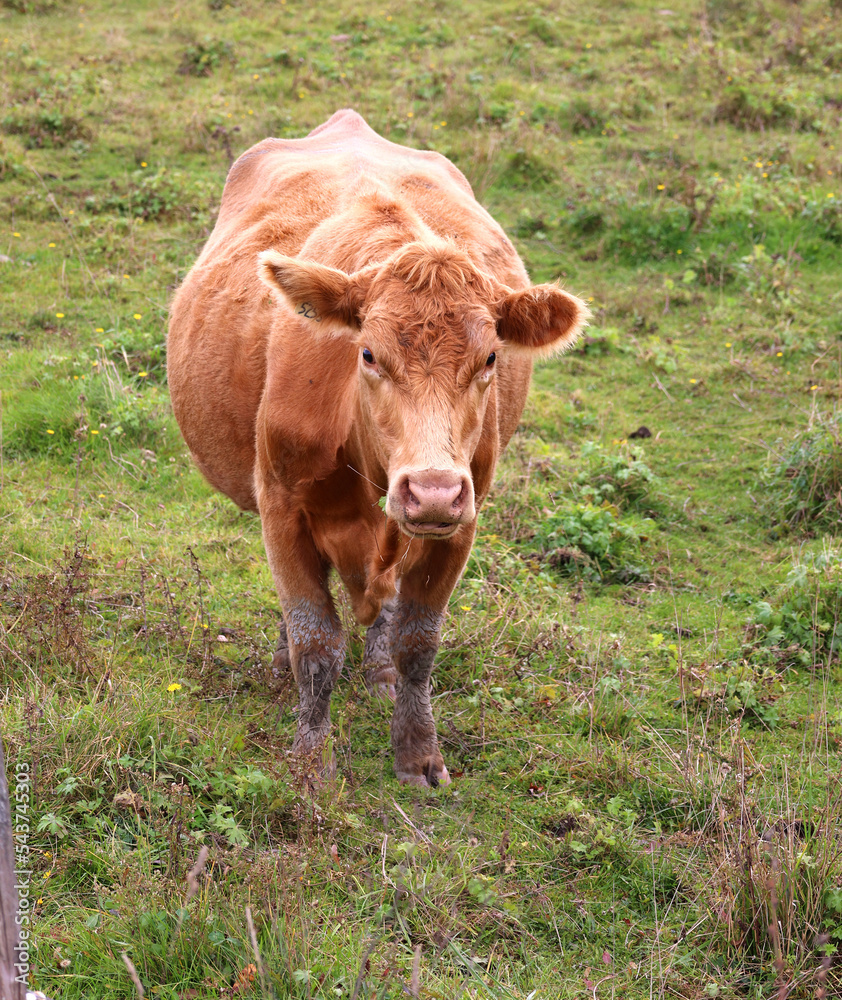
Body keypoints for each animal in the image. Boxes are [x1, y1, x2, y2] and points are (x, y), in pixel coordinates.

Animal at [167, 110, 588, 787]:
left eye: (490, 358)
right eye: (367, 353)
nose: (432, 490)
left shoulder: (462, 524)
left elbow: (419, 641)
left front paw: (417, 752)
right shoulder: (281, 505)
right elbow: (315, 639)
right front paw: (311, 765)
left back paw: (380, 674)